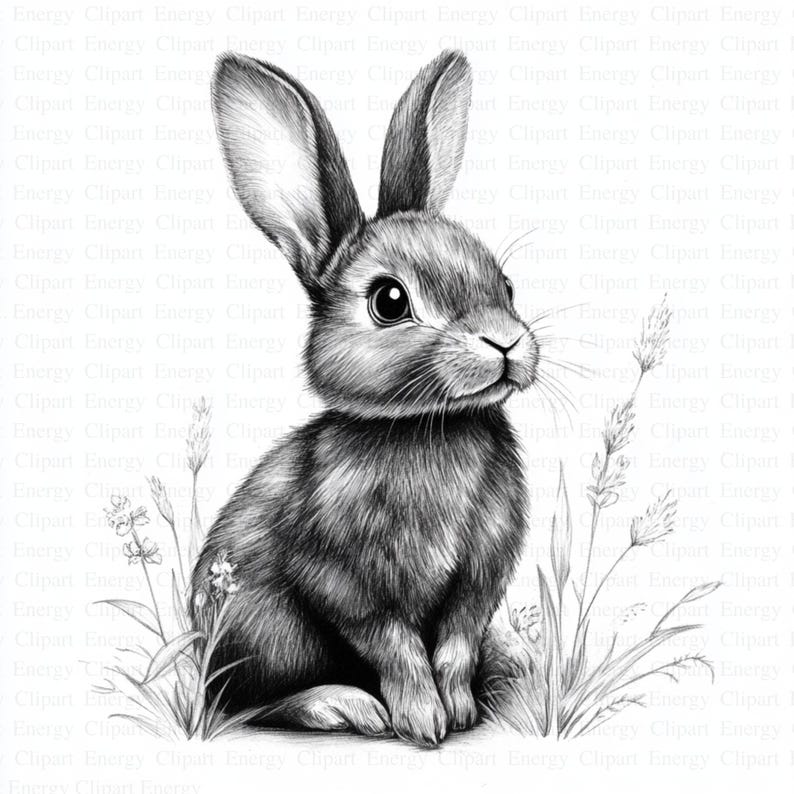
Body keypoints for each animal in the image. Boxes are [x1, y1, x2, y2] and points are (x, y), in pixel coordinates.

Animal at [191, 49, 540, 748]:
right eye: (389, 300)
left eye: (506, 283)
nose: (507, 341)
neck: (428, 424)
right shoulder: (345, 582)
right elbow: (396, 646)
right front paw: (422, 722)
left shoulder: (477, 580)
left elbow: (456, 642)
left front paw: (458, 709)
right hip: (268, 632)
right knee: (243, 703)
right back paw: (343, 706)